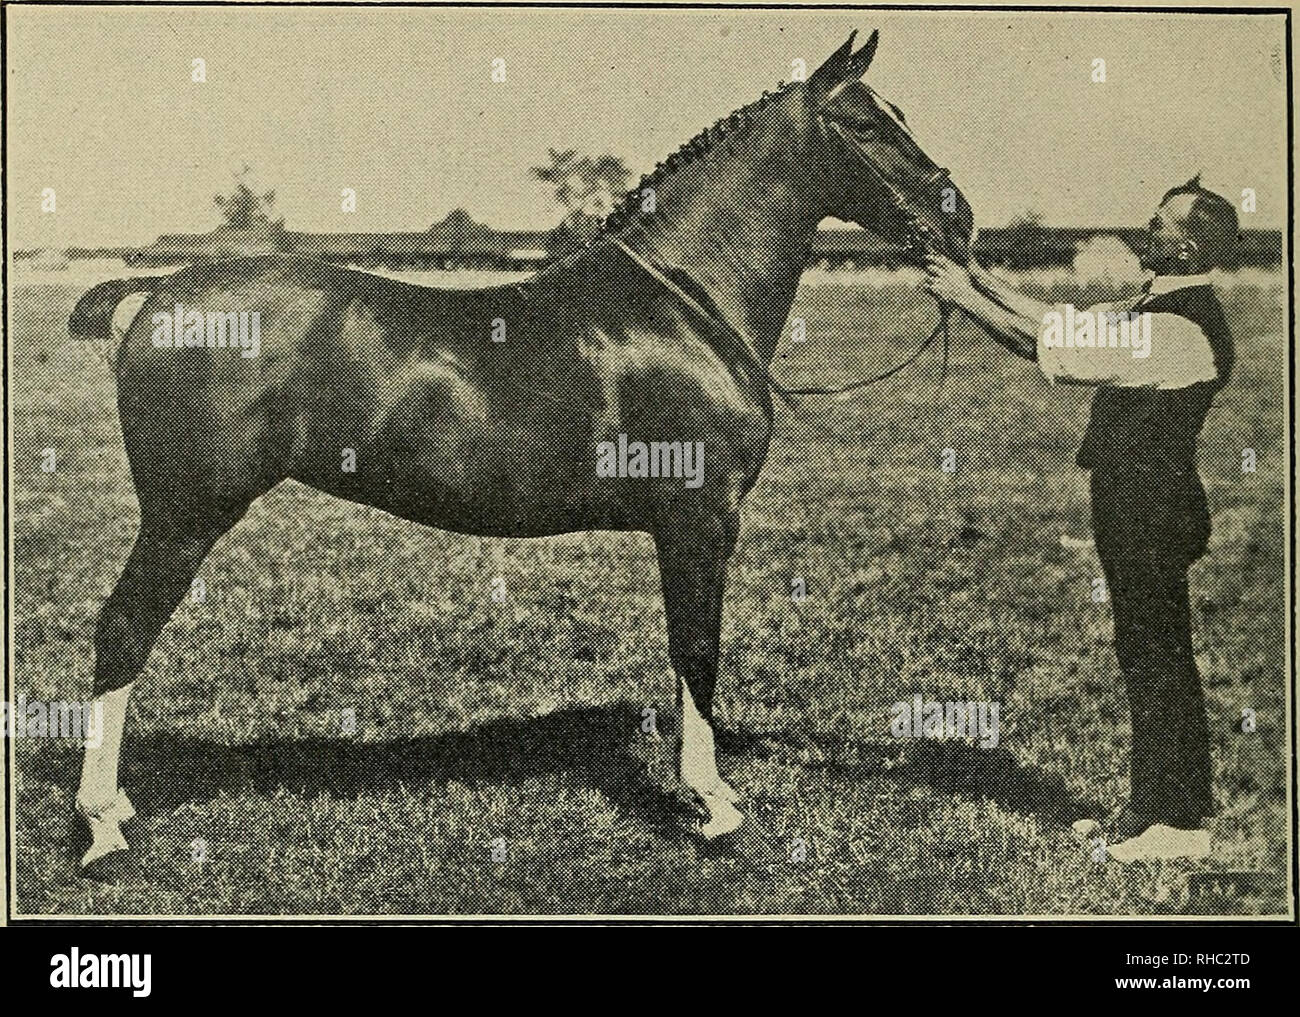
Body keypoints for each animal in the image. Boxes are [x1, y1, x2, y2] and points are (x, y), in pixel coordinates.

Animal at [67, 29, 972, 880]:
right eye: (867, 124)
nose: (957, 216)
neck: (687, 302)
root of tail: (158, 292)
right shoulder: (700, 518)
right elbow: (697, 652)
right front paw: (716, 807)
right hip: (185, 515)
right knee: (122, 631)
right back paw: (104, 828)